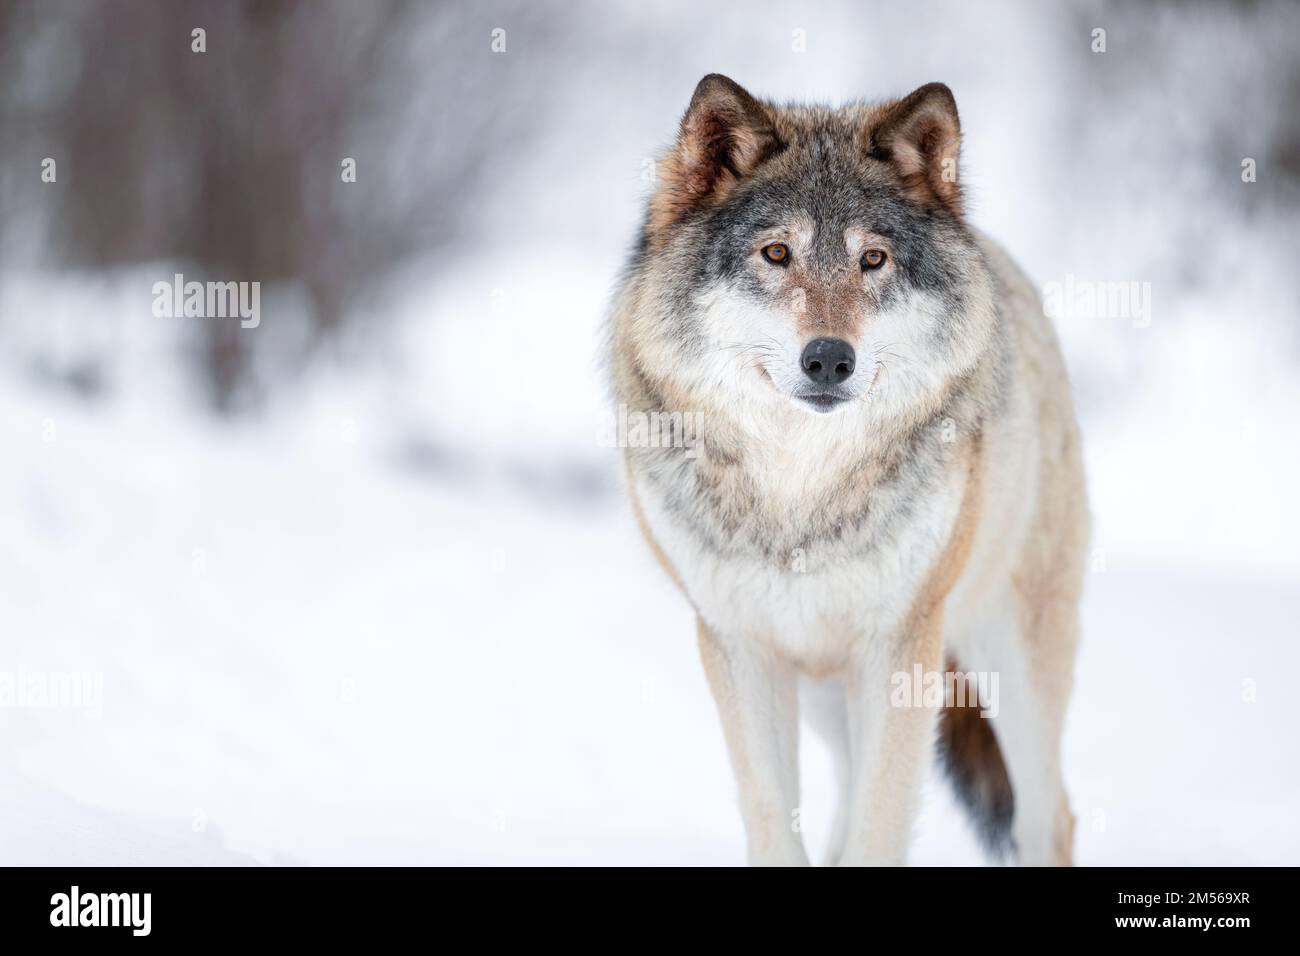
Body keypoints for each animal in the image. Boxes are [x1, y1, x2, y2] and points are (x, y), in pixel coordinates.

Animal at [607, 75, 1089, 866]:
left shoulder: (899, 649)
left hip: (1009, 663)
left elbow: (879, 826)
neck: (800, 491)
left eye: (873, 260)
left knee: (1051, 817)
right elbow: (775, 819)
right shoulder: (739, 645)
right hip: (831, 693)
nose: (830, 359)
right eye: (776, 253)